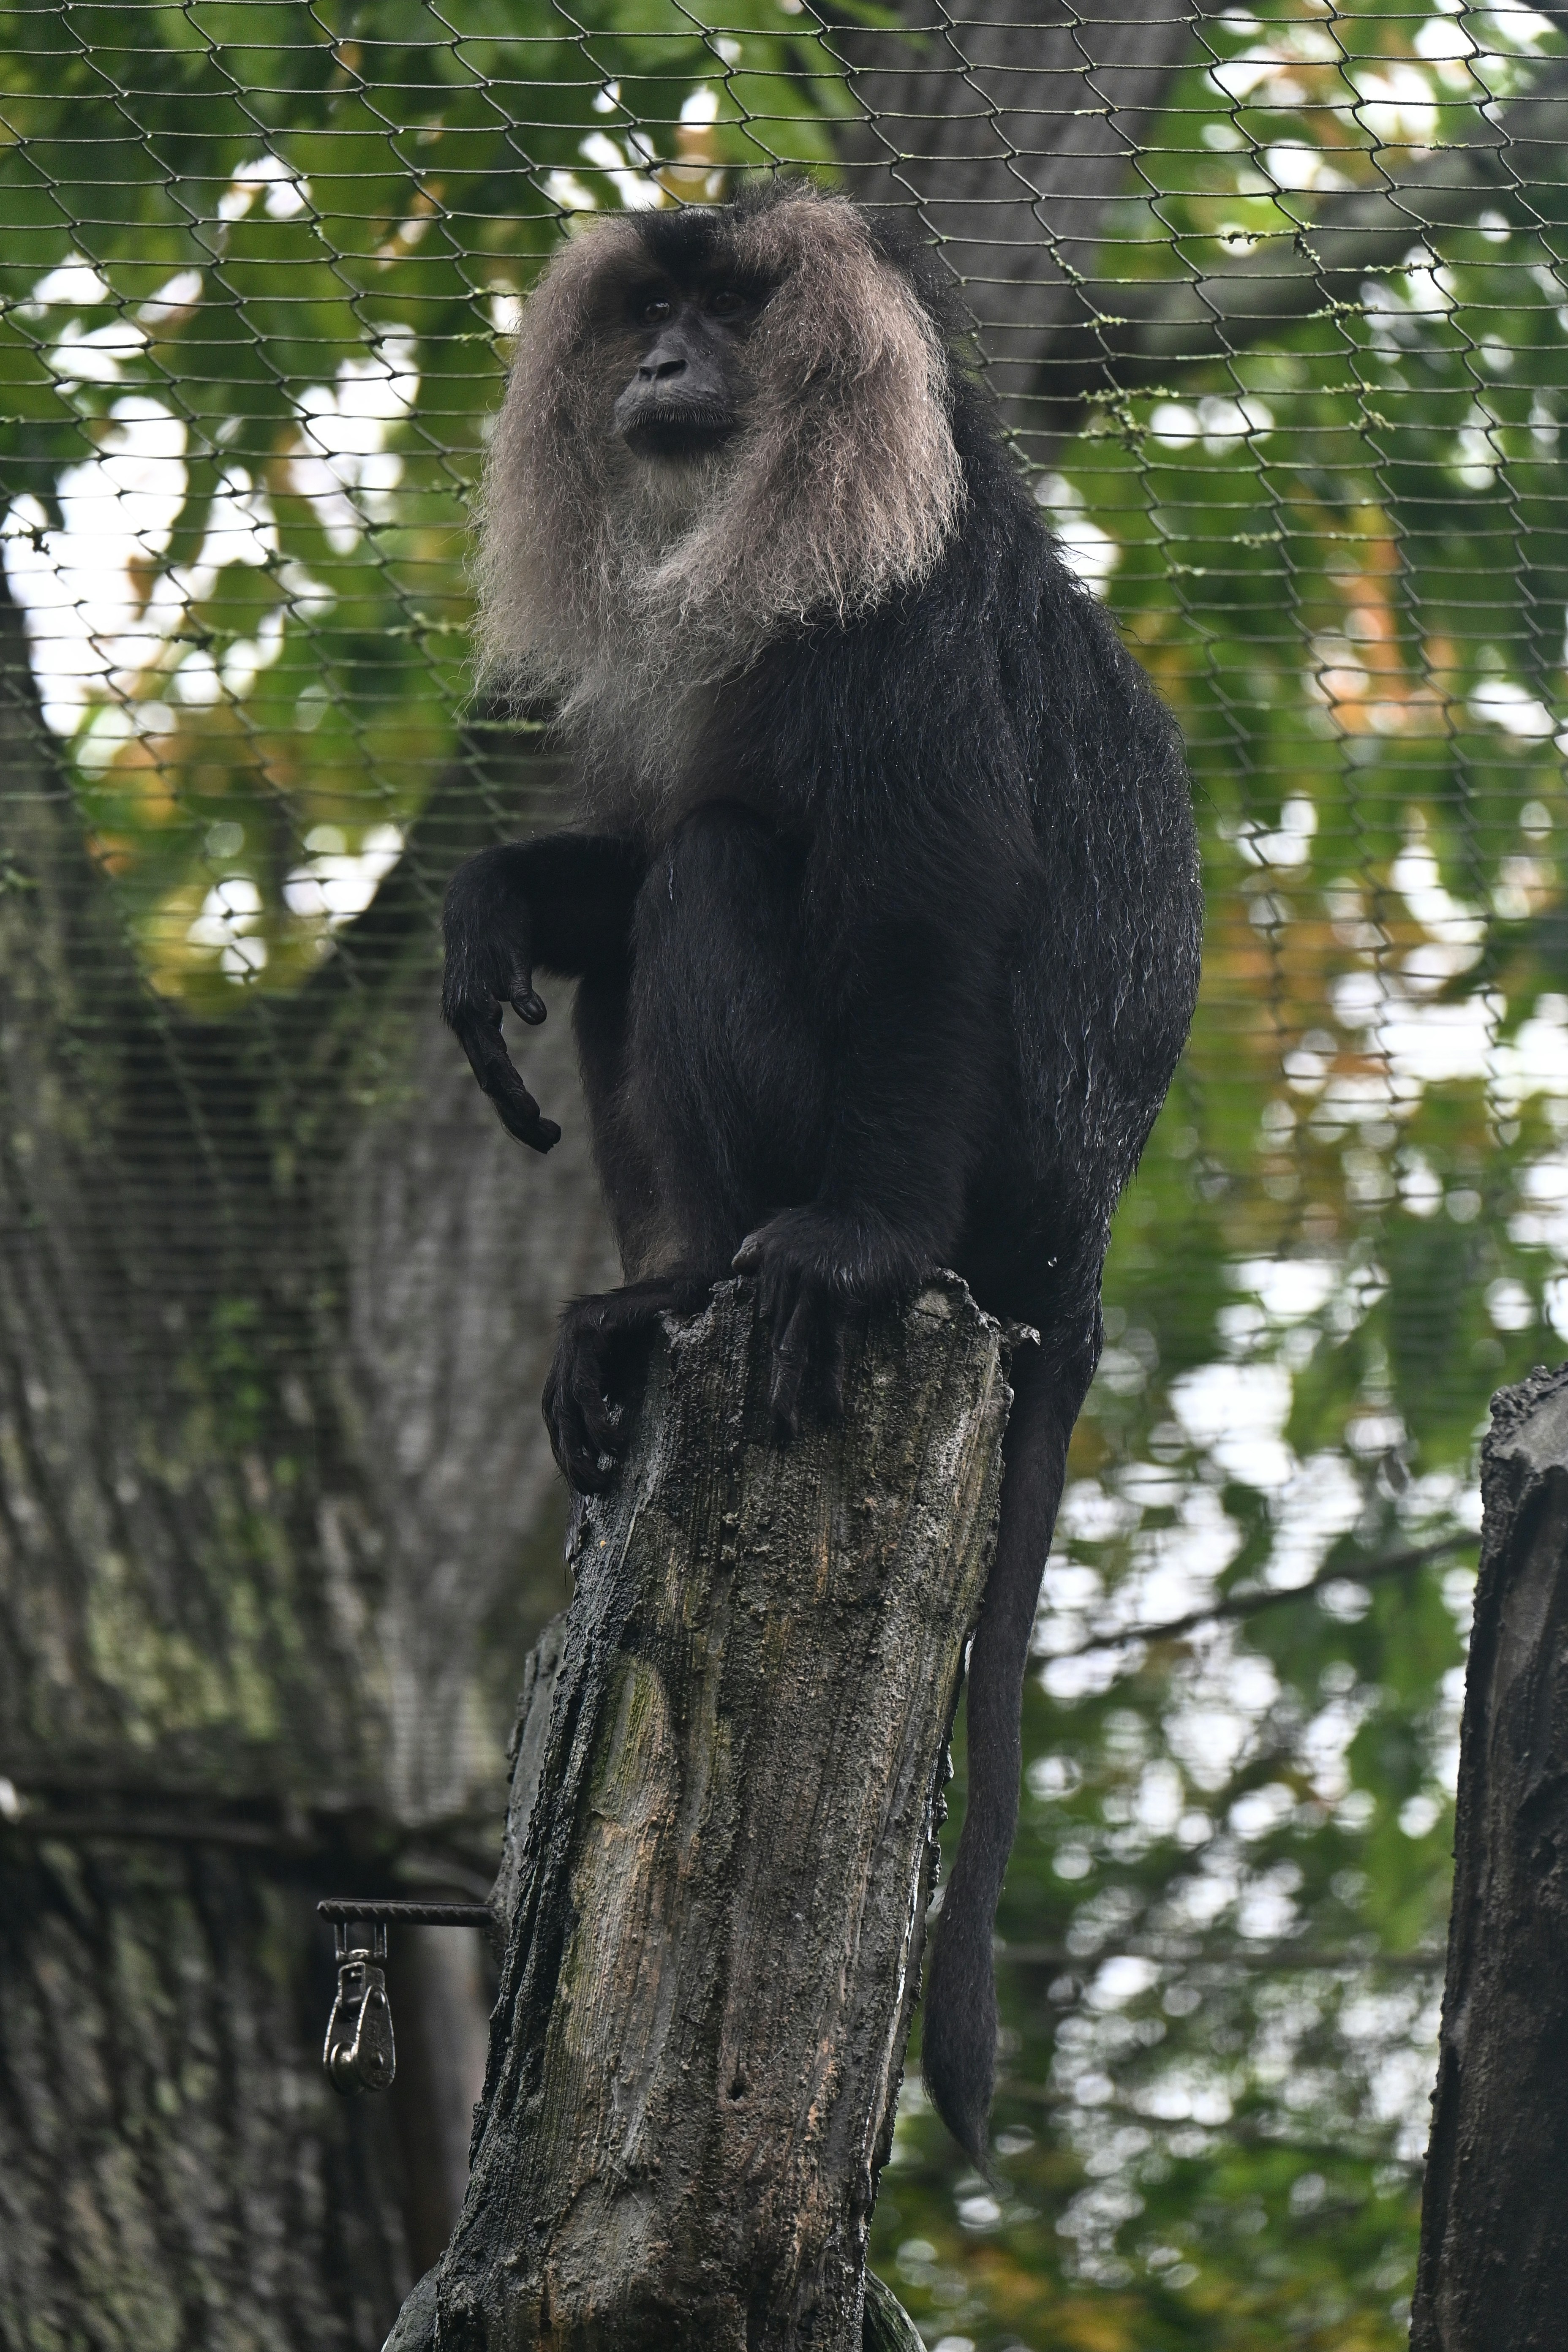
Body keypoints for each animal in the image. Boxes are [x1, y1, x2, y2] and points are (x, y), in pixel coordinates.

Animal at [441, 182, 1203, 2166]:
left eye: (724, 315)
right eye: (651, 313)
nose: (658, 362)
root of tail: (1073, 1254)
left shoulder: (895, 622)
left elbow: (924, 917)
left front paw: (849, 1255)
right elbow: (611, 872)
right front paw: (491, 906)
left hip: (972, 1175)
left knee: (715, 873)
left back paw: (740, 1274)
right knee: (656, 906)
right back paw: (656, 1294)